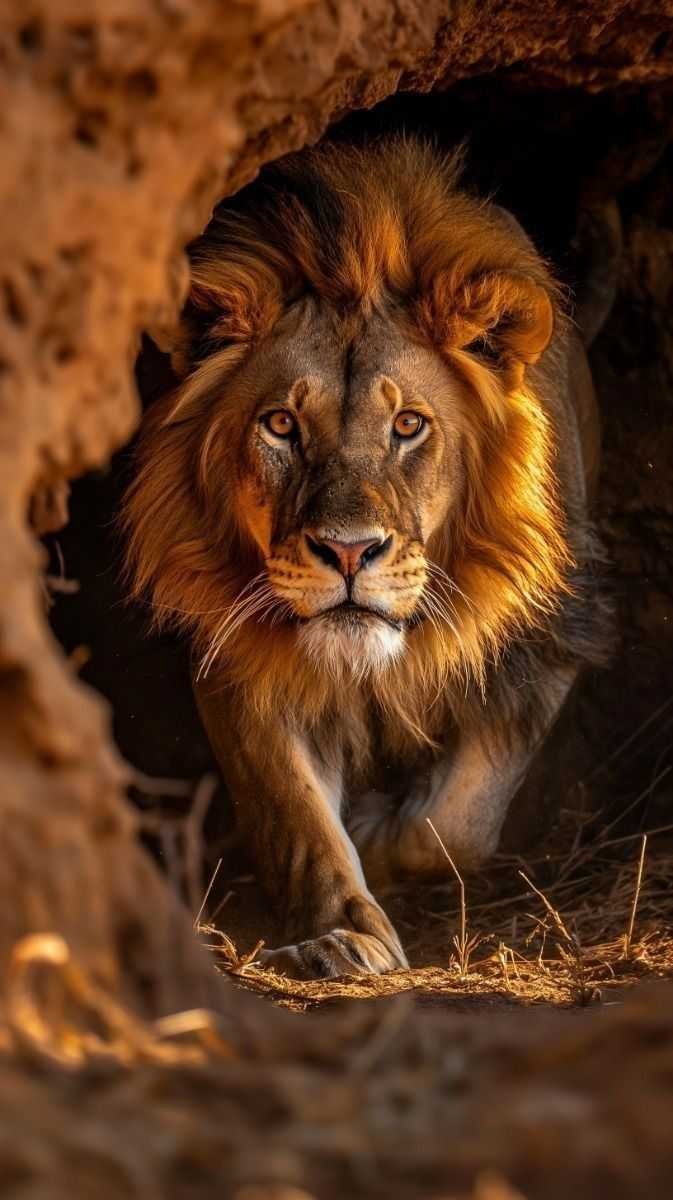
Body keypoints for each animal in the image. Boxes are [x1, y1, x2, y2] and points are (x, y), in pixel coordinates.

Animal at [123, 137, 611, 979]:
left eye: (408, 425)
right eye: (281, 424)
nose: (349, 551)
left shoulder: (547, 647)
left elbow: (455, 825)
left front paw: (383, 834)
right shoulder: (237, 654)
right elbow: (297, 819)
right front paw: (341, 934)